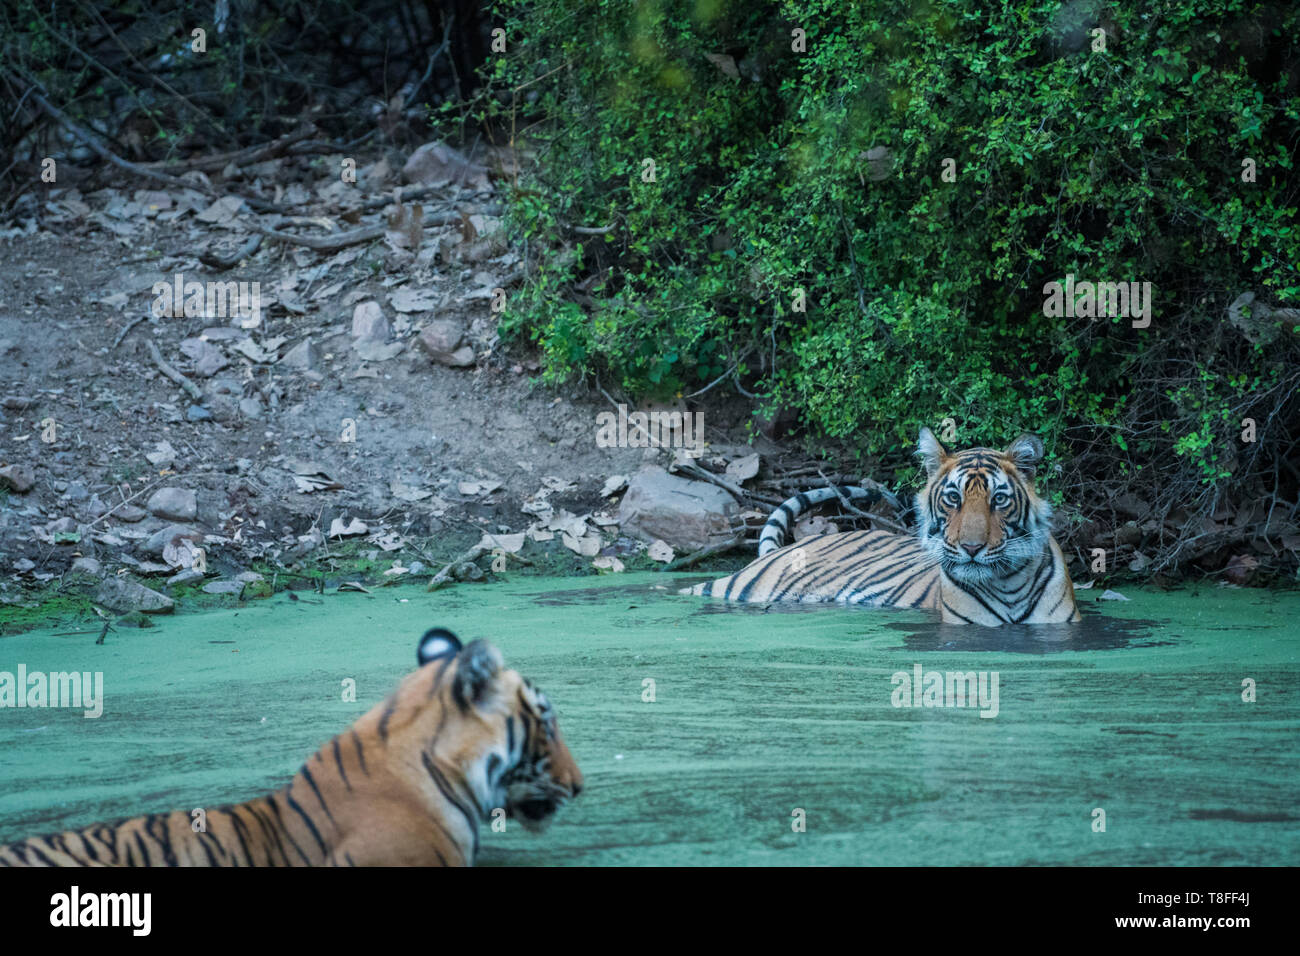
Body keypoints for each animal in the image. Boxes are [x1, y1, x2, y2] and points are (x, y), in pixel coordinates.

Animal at [689, 429, 1081, 625]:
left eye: (999, 500)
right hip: (736, 585)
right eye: (953, 498)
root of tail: (788, 547)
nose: (971, 548)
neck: (1007, 584)